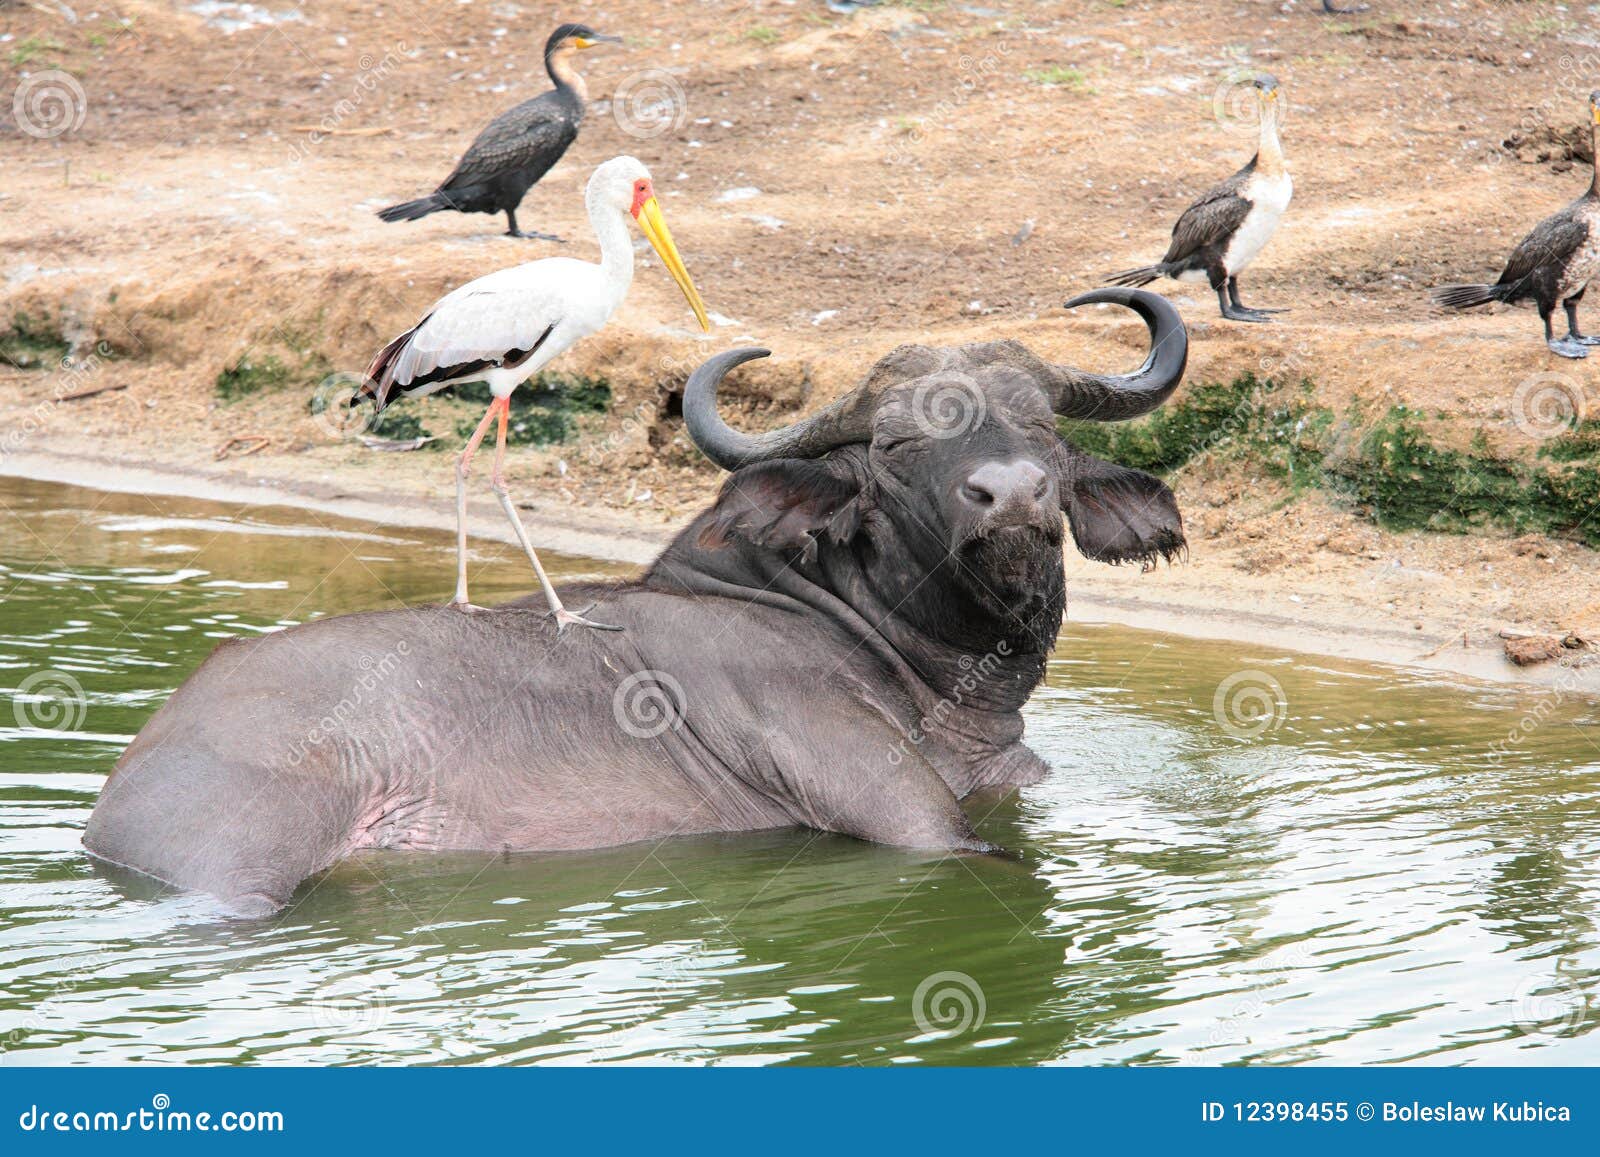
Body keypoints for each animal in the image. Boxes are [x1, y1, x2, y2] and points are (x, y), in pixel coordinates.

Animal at [83, 288, 1188, 915]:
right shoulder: (891, 799)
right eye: (895, 440)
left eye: (1041, 425)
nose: (1012, 494)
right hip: (242, 863)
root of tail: (139, 761)